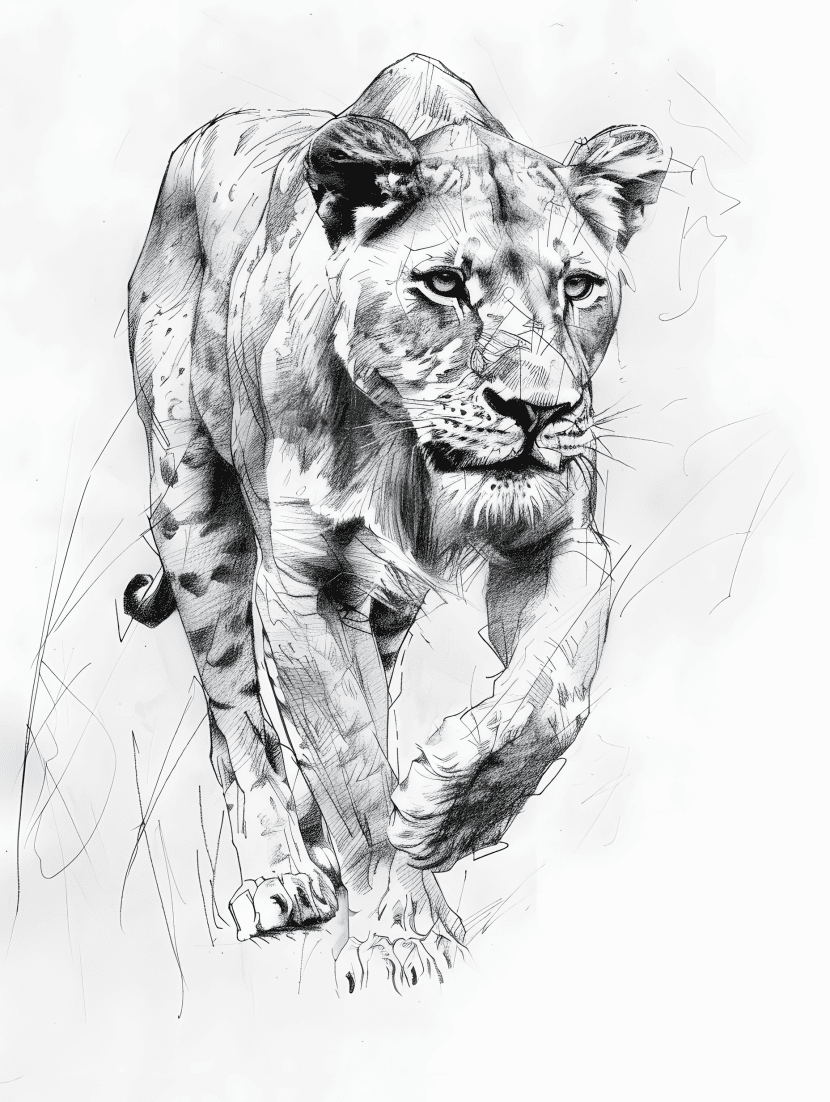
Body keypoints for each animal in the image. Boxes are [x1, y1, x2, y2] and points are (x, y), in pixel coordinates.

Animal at [124, 53, 667, 991]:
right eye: (445, 284)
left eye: (578, 286)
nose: (538, 410)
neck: (415, 456)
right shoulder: (303, 584)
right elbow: (351, 762)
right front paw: (400, 933)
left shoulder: (559, 537)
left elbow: (552, 689)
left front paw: (449, 810)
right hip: (193, 514)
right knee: (237, 721)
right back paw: (279, 875)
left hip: (385, 603)